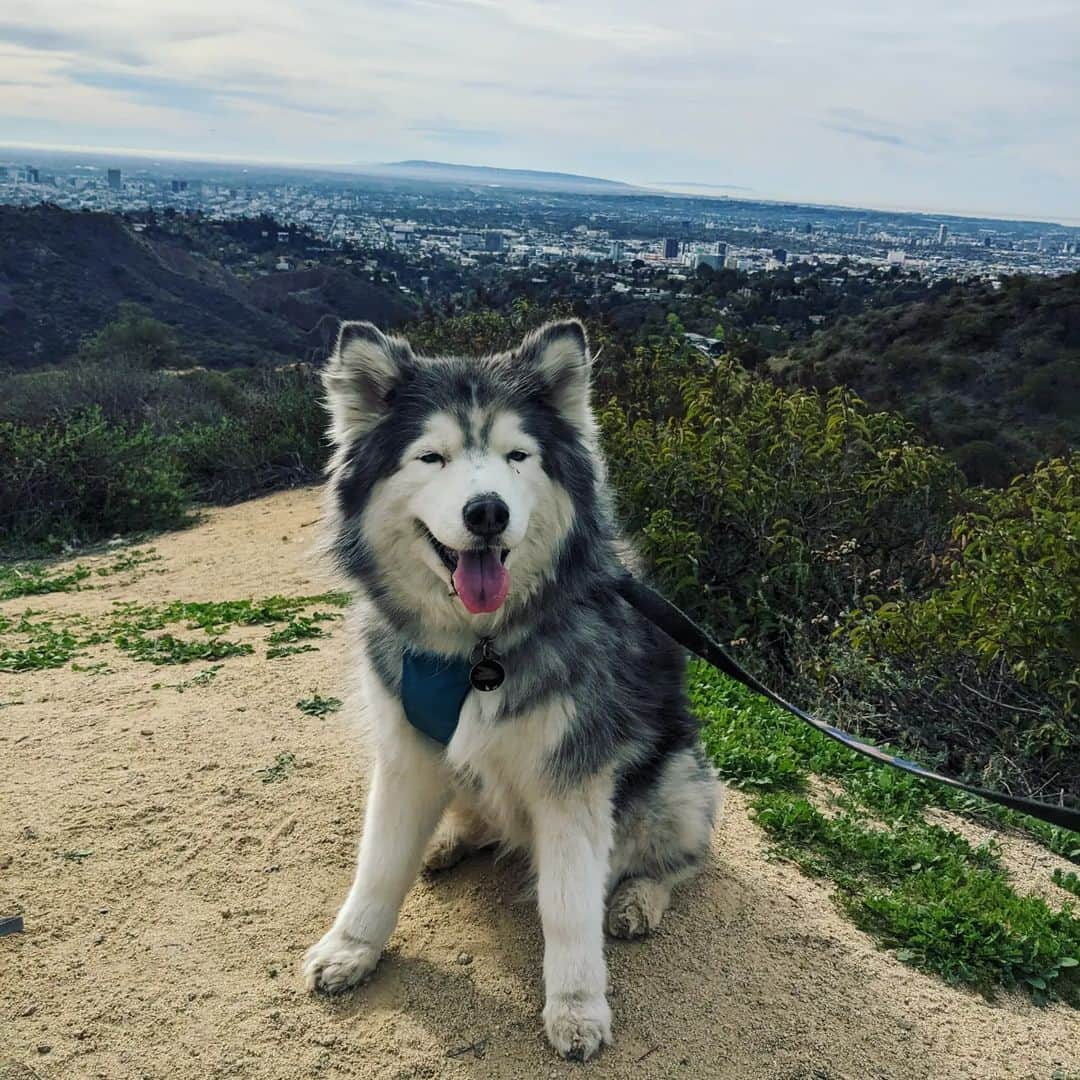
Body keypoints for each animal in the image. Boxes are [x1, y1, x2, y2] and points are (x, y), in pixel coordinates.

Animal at [300, 315, 721, 1058]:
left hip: (675, 780)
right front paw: (350, 948)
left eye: (518, 455)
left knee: (678, 859)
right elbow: (378, 862)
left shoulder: (573, 777)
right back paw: (445, 841)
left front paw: (577, 1006)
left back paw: (638, 899)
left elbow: (569, 905)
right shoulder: (404, 751)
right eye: (432, 458)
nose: (487, 512)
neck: (475, 650)